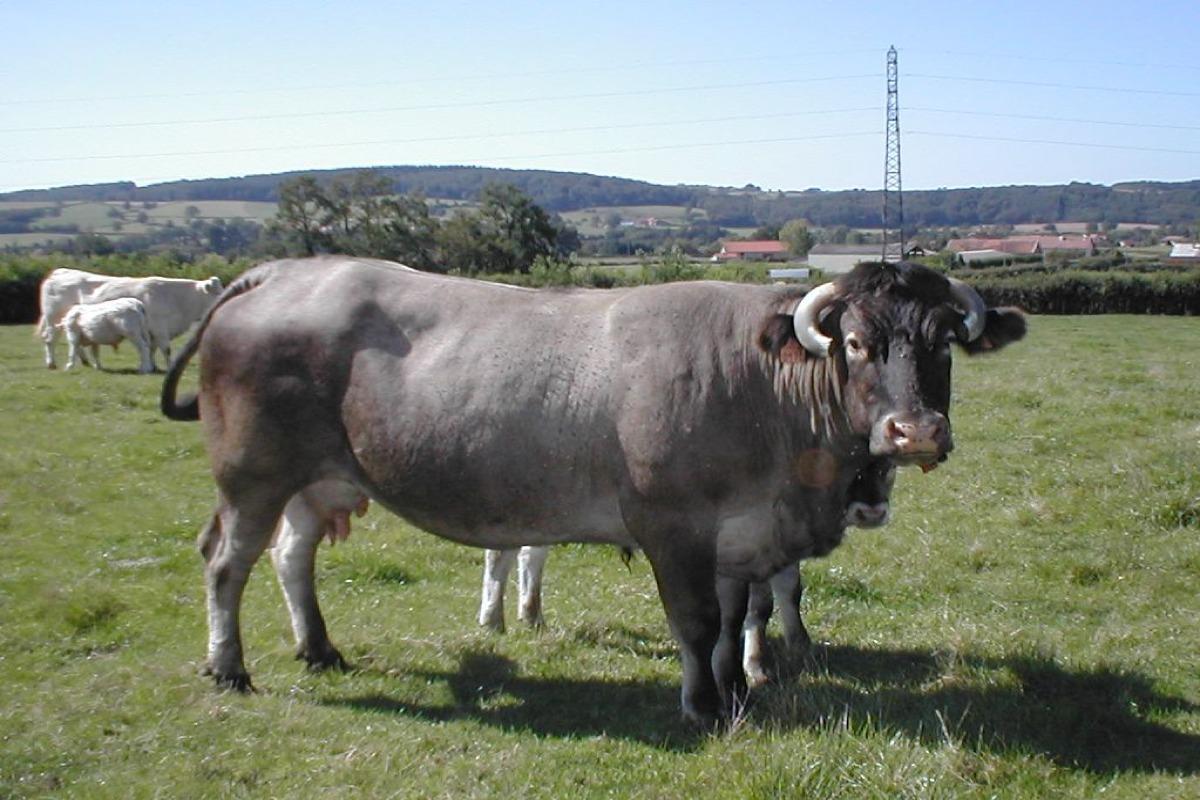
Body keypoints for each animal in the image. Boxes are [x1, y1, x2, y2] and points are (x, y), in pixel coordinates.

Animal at [160, 256, 1025, 726]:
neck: (756, 386)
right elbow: (696, 623)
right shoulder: (673, 528)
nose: (916, 432)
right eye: (855, 341)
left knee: (291, 555)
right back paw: (229, 667)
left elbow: (732, 623)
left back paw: (318, 647)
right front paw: (702, 706)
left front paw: (735, 690)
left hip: (317, 481)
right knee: (227, 561)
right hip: (251, 475)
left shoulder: (741, 538)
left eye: (944, 342)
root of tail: (283, 270)